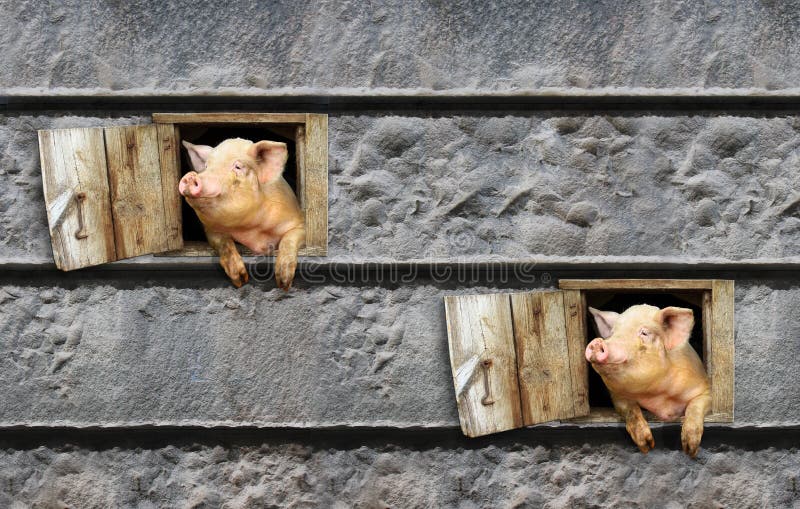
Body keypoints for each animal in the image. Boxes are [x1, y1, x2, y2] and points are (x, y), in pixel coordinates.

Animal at [179, 138, 305, 289]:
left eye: (238, 167)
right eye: (206, 166)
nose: (191, 176)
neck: (252, 231)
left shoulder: (299, 223)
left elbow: (289, 239)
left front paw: (284, 283)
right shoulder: (211, 230)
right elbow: (223, 243)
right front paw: (241, 280)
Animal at [585, 304, 710, 457]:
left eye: (644, 333)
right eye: (613, 333)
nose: (597, 342)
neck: (657, 396)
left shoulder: (705, 389)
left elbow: (695, 406)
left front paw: (690, 450)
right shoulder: (618, 396)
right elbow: (630, 409)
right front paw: (647, 446)